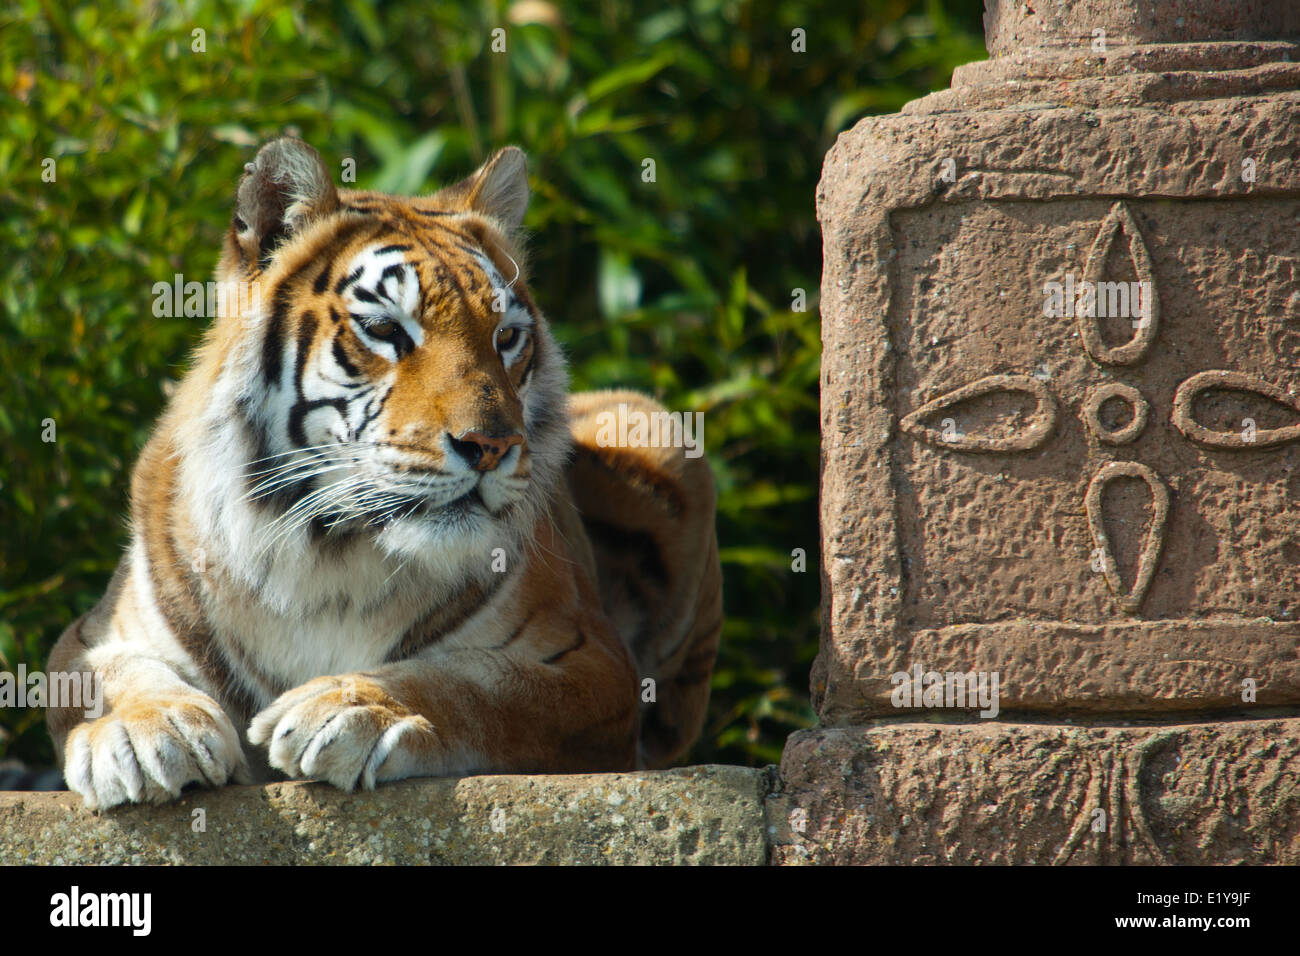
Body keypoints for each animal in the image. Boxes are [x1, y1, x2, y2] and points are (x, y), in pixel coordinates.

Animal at [46, 137, 722, 809]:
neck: (327, 556)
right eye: (384, 329)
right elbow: (107, 675)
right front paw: (144, 730)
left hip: (659, 428)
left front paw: (353, 706)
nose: (492, 444)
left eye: (506, 336)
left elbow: (484, 684)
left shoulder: (594, 662)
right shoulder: (87, 635)